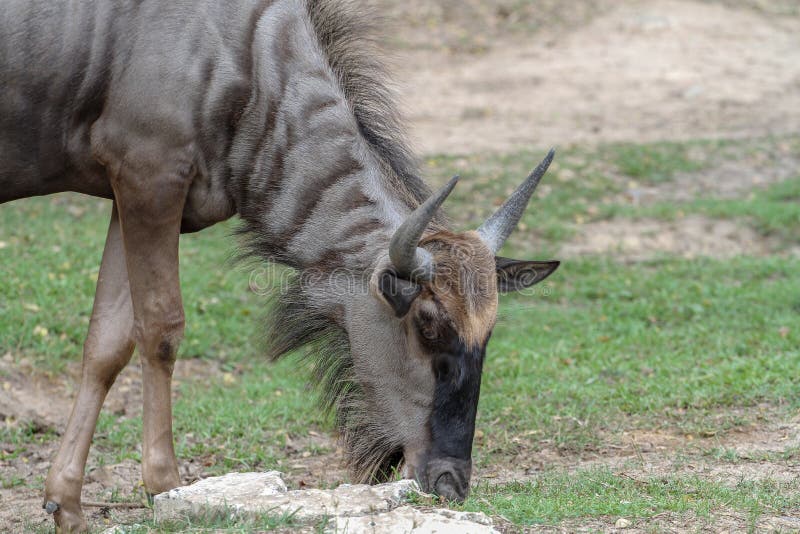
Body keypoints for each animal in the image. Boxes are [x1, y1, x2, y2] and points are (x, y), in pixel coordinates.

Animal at [0, 0, 560, 531]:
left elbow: (106, 343)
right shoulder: (149, 179)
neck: (246, 58)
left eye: (488, 333)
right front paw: (166, 485)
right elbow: (161, 329)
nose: (449, 482)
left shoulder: (131, 197)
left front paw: (66, 504)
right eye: (426, 324)